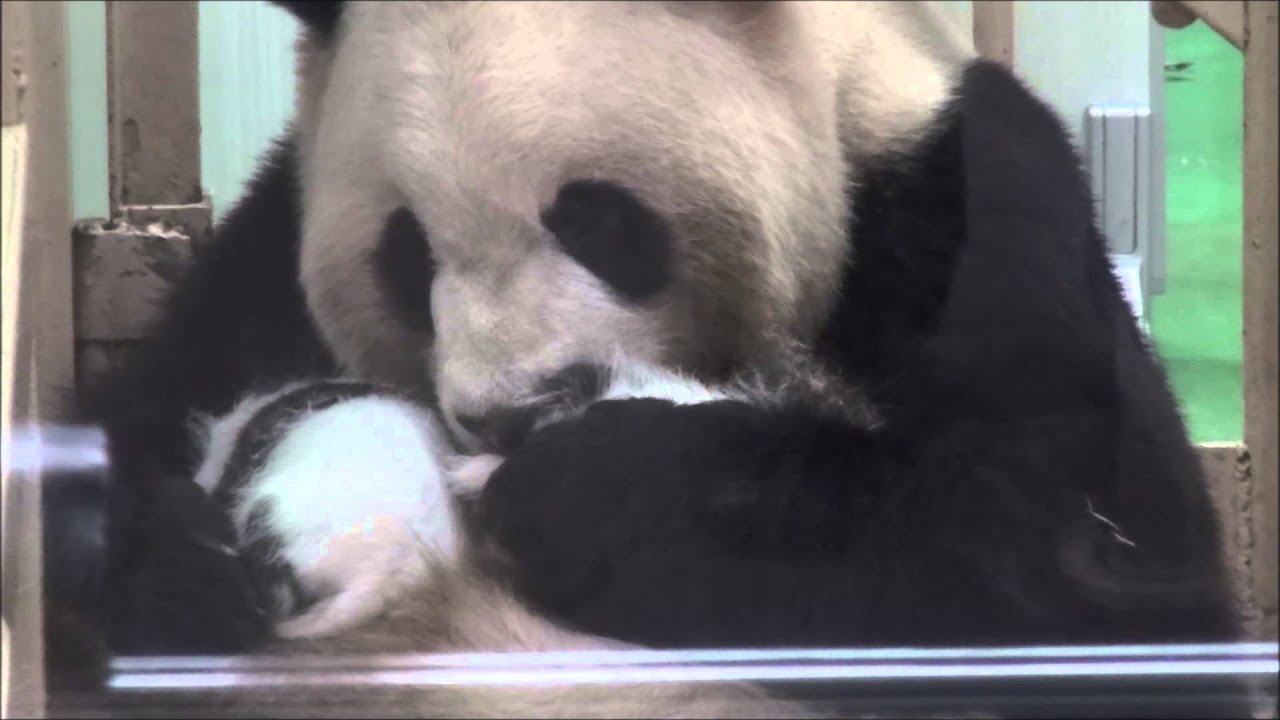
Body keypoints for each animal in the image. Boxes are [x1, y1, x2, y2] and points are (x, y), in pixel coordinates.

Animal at [46, 0, 1246, 717]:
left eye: (597, 221)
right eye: (406, 251)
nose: (512, 410)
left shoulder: (959, 203)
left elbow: (1104, 582)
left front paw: (593, 486)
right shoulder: (264, 248)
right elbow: (126, 432)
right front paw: (188, 568)